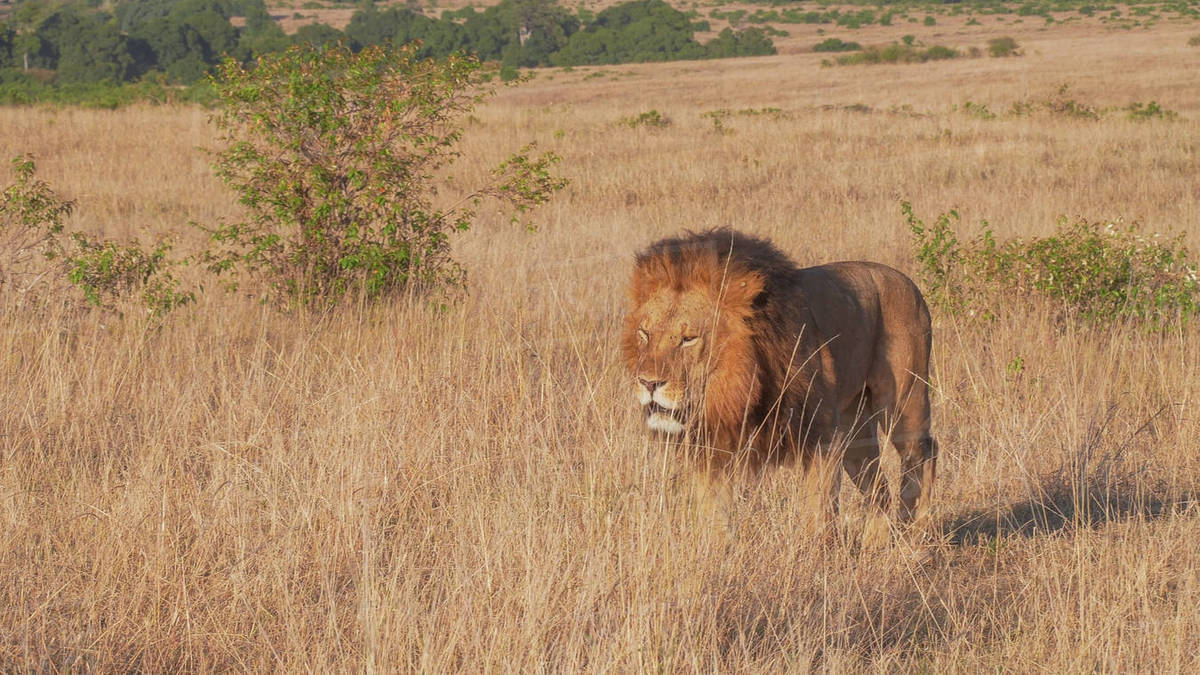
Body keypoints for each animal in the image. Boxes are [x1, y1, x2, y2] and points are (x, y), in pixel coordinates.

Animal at [621, 228, 937, 529]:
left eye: (688, 339)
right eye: (645, 333)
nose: (648, 383)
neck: (738, 389)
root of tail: (908, 282)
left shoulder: (822, 440)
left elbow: (817, 518)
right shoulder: (712, 451)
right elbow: (715, 523)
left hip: (904, 403)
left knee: (923, 454)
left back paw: (917, 533)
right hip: (854, 426)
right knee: (879, 489)